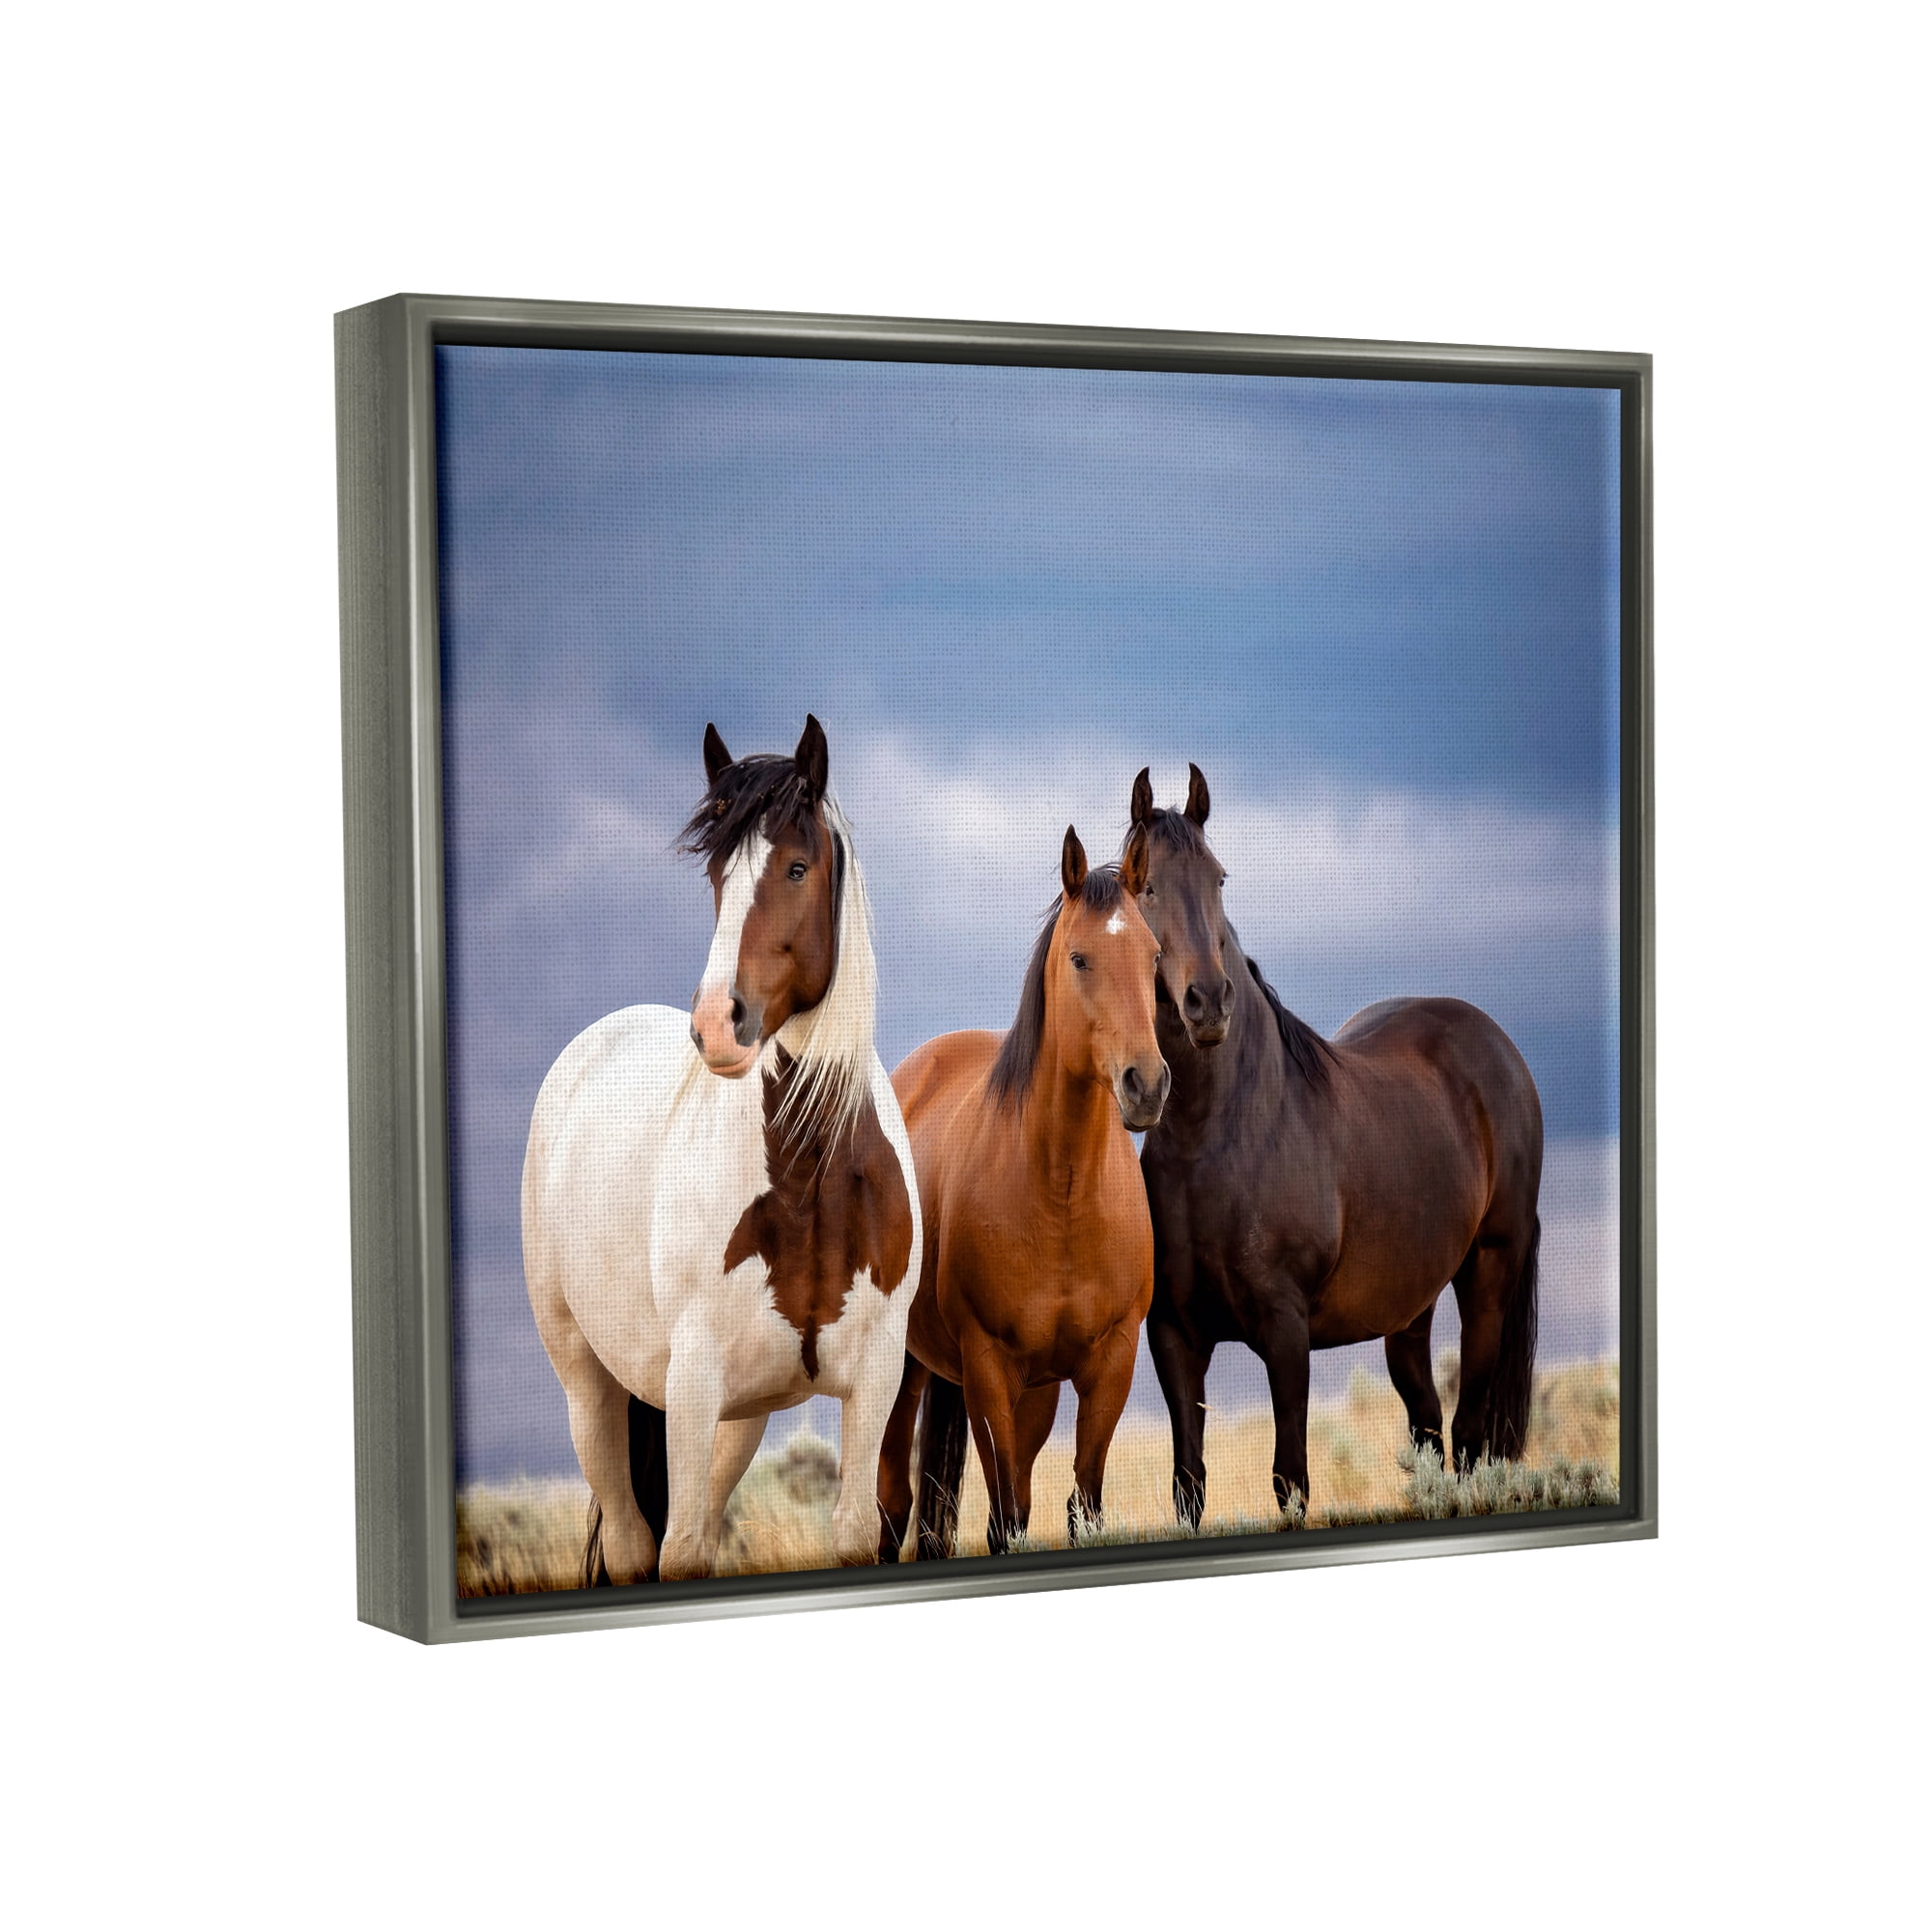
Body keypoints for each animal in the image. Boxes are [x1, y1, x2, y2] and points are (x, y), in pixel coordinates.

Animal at [521, 715, 920, 1583]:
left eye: (798, 867)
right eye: (714, 874)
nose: (715, 1024)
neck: (808, 1178)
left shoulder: (875, 1377)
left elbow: (853, 1530)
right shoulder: (694, 1380)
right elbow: (680, 1554)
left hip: (736, 1421)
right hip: (591, 1388)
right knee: (636, 1546)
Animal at [876, 822, 1169, 1559]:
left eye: (1153, 956)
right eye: (1081, 959)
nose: (1147, 1085)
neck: (1061, 1196)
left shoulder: (1109, 1365)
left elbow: (1079, 1504)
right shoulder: (987, 1367)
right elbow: (1005, 1519)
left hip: (1031, 1392)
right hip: (904, 1369)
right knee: (893, 1503)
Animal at [1128, 763, 1543, 1523]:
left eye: (1219, 879)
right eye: (1145, 887)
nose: (1210, 1002)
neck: (1218, 1138)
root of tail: (1497, 1047)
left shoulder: (1286, 1331)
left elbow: (1291, 1479)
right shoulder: (1174, 1334)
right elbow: (1189, 1484)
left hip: (1490, 1272)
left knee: (1470, 1436)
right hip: (1410, 1308)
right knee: (1429, 1428)